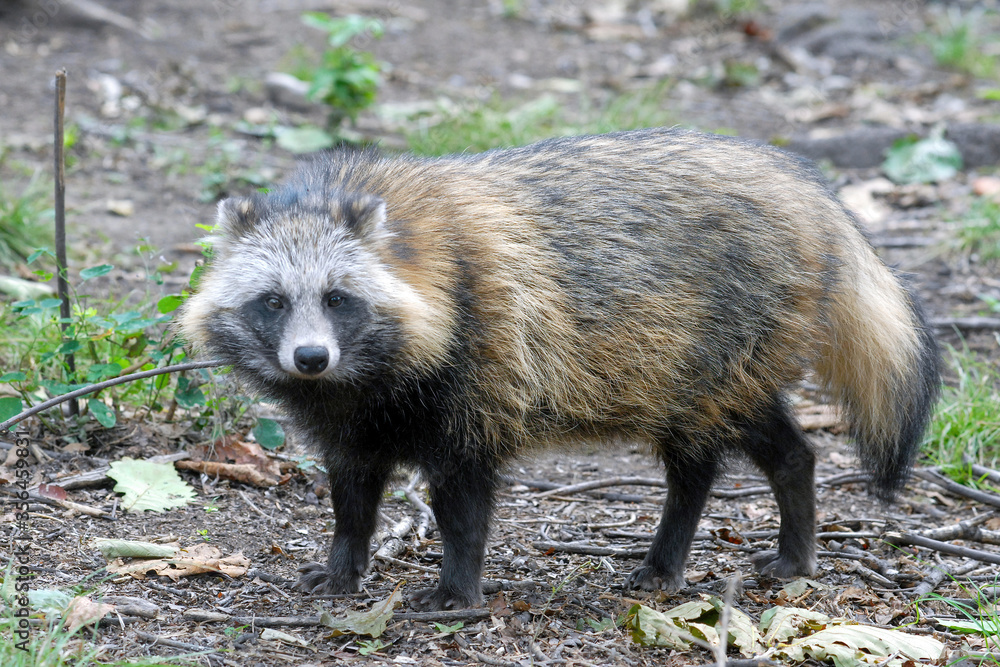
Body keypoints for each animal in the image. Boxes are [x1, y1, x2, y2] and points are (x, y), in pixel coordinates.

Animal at [178, 127, 940, 611]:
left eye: (338, 298)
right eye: (274, 301)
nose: (310, 358)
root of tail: (808, 189)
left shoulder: (482, 368)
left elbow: (463, 500)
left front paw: (458, 585)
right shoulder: (351, 417)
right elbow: (352, 491)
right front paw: (345, 561)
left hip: (724, 345)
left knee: (726, 454)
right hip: (699, 367)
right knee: (737, 457)